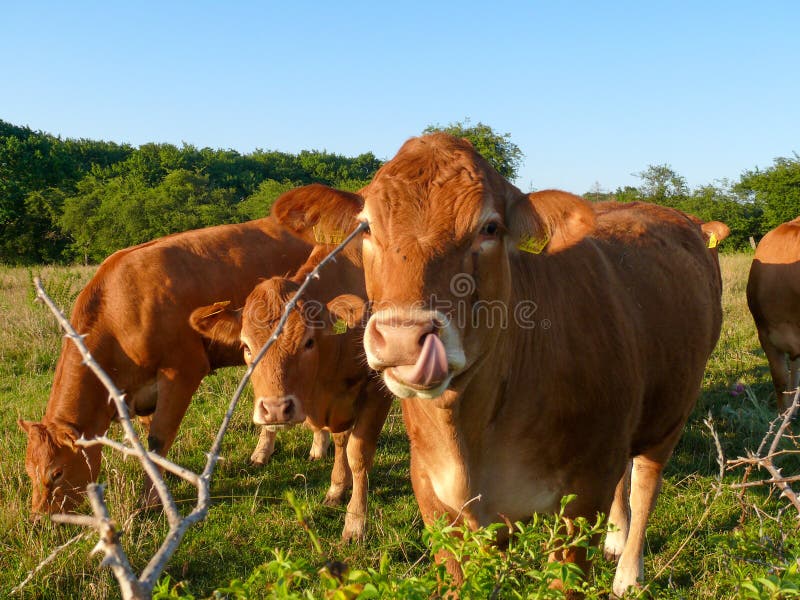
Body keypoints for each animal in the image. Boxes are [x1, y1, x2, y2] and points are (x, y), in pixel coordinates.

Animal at [17, 216, 313, 515]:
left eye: (56, 473)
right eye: (28, 472)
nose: (40, 518)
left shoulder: (182, 370)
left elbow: (159, 436)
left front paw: (150, 499)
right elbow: (152, 437)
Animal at [189, 185, 393, 541]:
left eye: (308, 341)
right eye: (246, 346)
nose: (275, 410)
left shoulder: (375, 391)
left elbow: (358, 453)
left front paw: (355, 521)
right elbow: (340, 442)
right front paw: (336, 488)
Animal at [293, 133, 724, 597]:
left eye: (489, 228)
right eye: (368, 227)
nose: (403, 339)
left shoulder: (582, 495)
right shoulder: (432, 493)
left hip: (670, 414)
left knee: (645, 483)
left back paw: (628, 572)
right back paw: (616, 536)